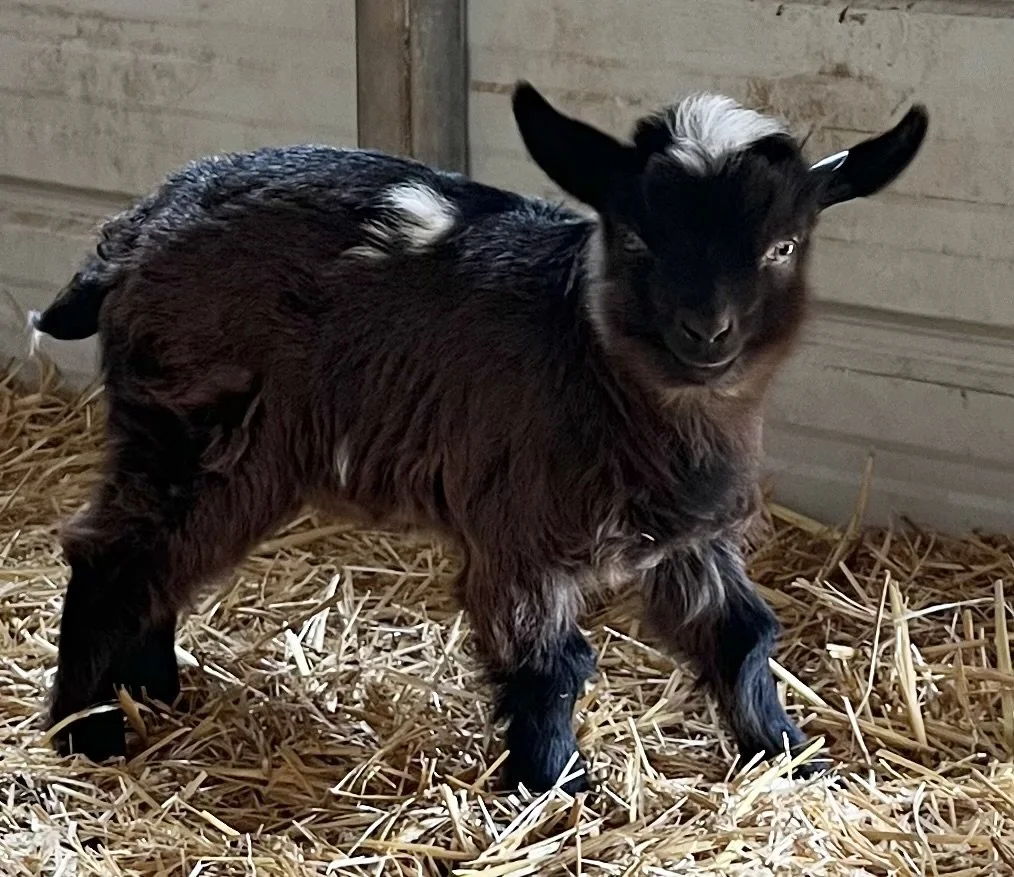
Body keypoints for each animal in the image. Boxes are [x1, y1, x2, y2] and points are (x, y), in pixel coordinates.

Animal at [32, 81, 927, 792]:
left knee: (158, 561)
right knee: (113, 556)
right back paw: (87, 730)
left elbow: (739, 634)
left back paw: (154, 690)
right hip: (194, 430)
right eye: (636, 237)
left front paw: (790, 756)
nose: (705, 332)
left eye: (782, 246)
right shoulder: (518, 526)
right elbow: (548, 663)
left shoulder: (686, 537)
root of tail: (136, 228)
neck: (591, 363)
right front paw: (556, 787)